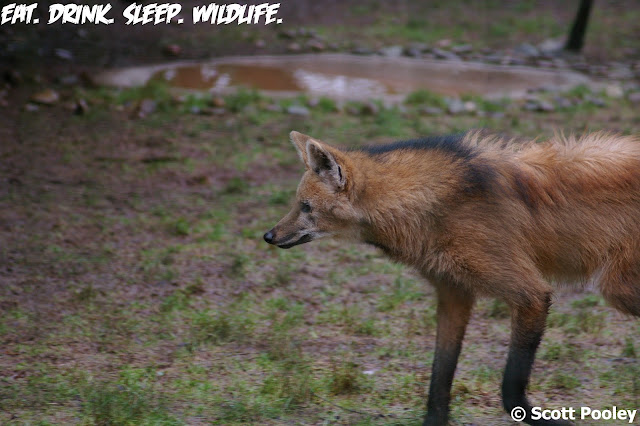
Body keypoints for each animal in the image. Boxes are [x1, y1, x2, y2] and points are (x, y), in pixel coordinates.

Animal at [264, 130, 640, 425]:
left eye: (306, 207)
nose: (268, 236)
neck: (434, 207)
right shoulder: (454, 295)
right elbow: (439, 377)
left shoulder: (531, 294)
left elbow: (510, 387)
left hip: (616, 288)